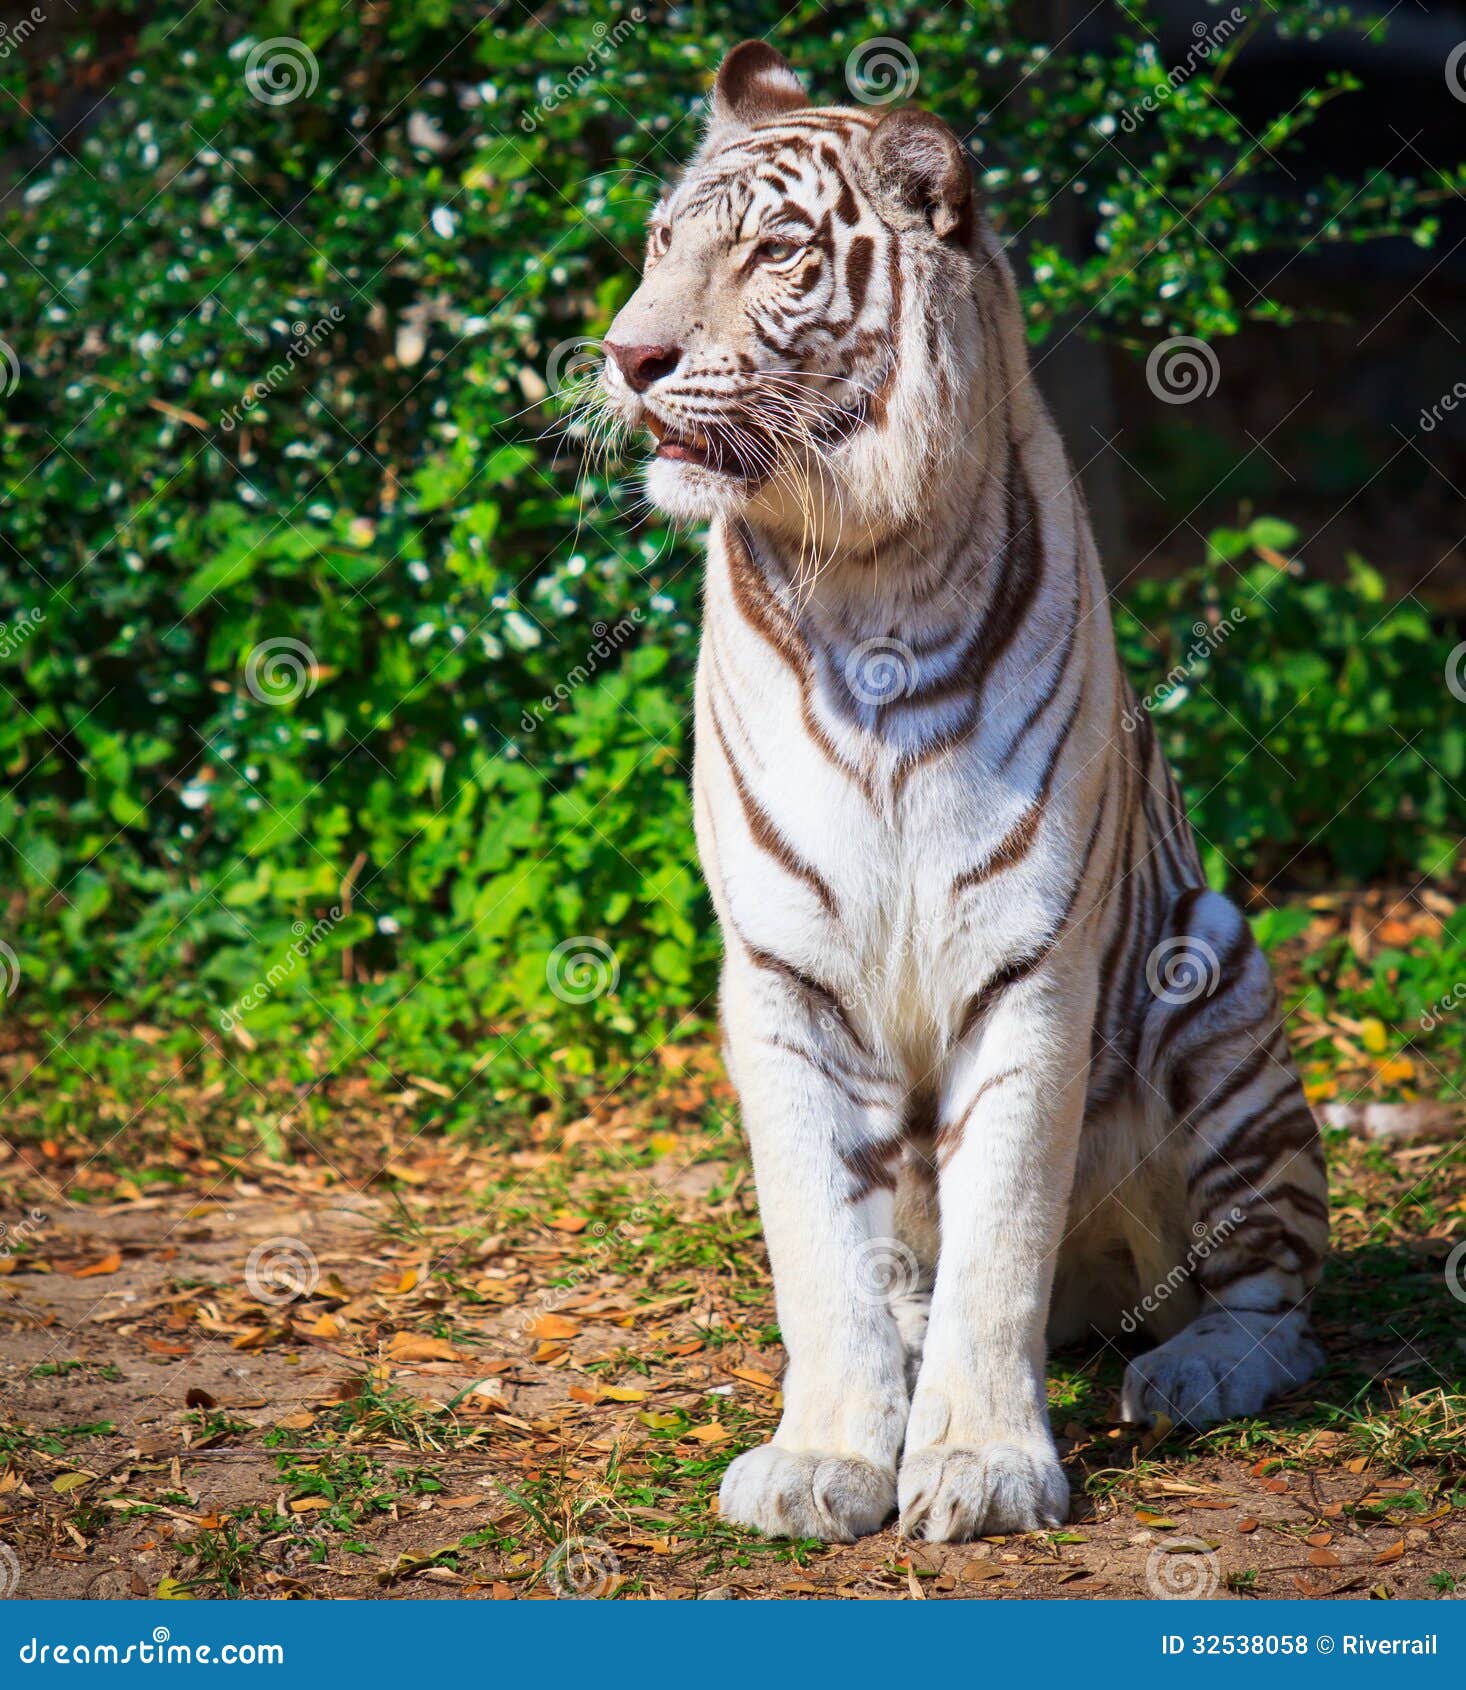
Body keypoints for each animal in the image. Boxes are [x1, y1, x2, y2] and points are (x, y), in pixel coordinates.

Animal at [597, 41, 1328, 1543]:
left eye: (774, 253)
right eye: (658, 244)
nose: (628, 355)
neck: (861, 571)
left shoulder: (1028, 962)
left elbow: (1000, 1235)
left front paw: (980, 1465)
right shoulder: (781, 972)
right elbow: (820, 1249)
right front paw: (825, 1455)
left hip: (1214, 981)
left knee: (1276, 1292)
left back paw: (1190, 1372)